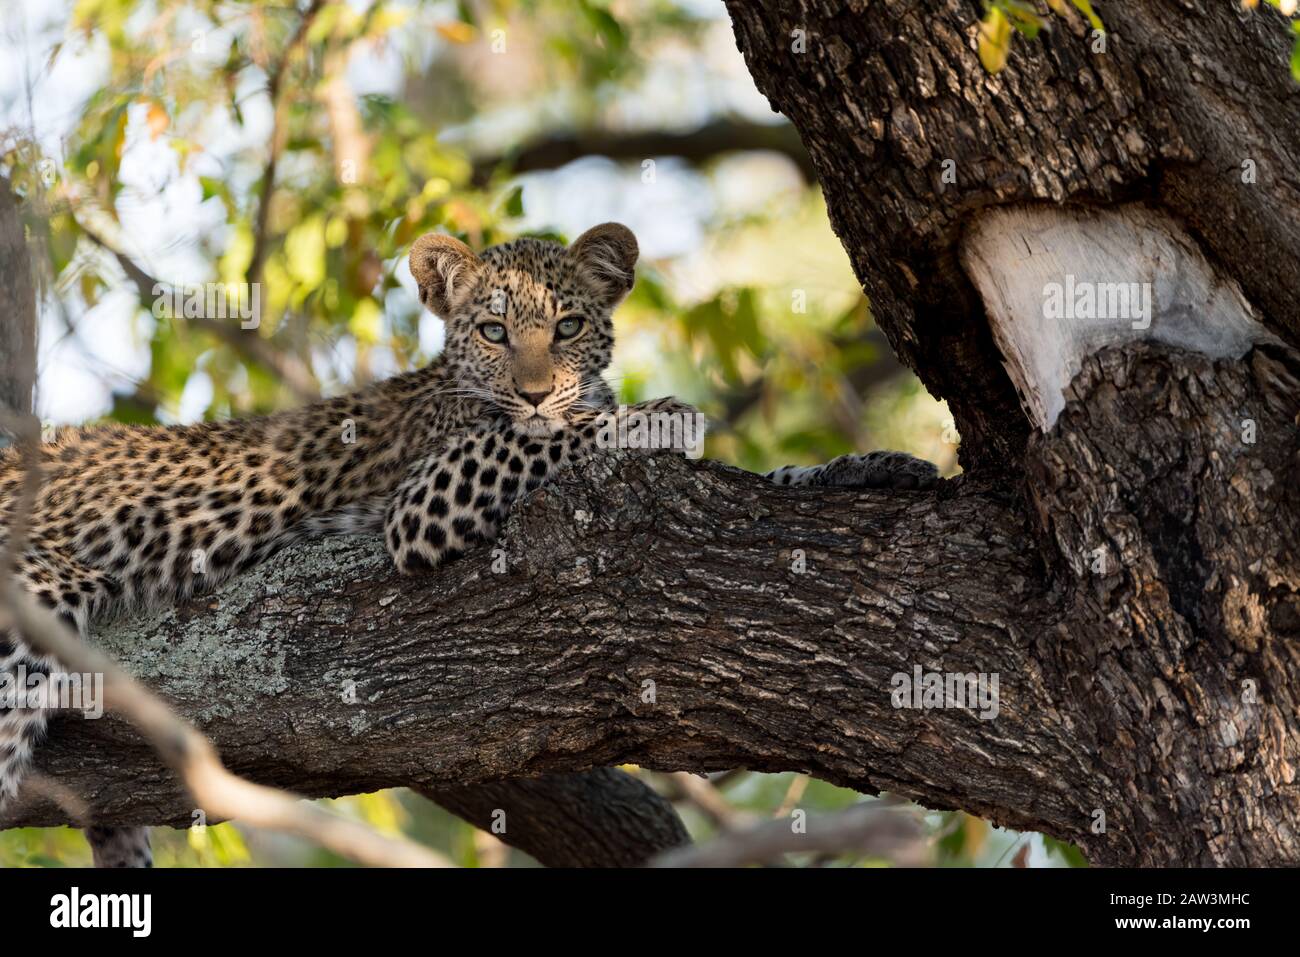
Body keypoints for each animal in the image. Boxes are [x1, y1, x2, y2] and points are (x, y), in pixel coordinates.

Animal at [0, 222, 937, 867]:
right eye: (492, 331)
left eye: (567, 326)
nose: (534, 386)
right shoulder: (424, 497)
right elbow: (554, 433)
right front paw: (663, 412)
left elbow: (757, 474)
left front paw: (872, 467)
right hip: (41, 590)